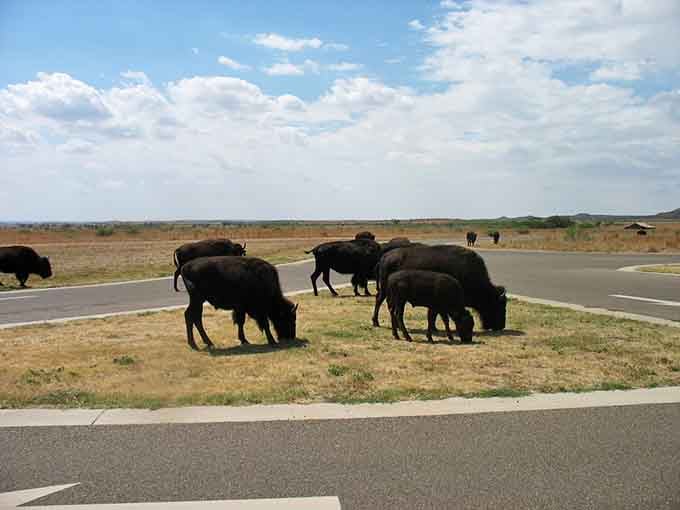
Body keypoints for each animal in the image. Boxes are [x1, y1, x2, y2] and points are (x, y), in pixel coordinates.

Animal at [372, 244, 506, 331]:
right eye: (499, 305)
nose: (501, 326)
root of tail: (384, 257)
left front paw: (434, 328)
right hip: (385, 289)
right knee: (379, 300)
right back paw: (376, 322)